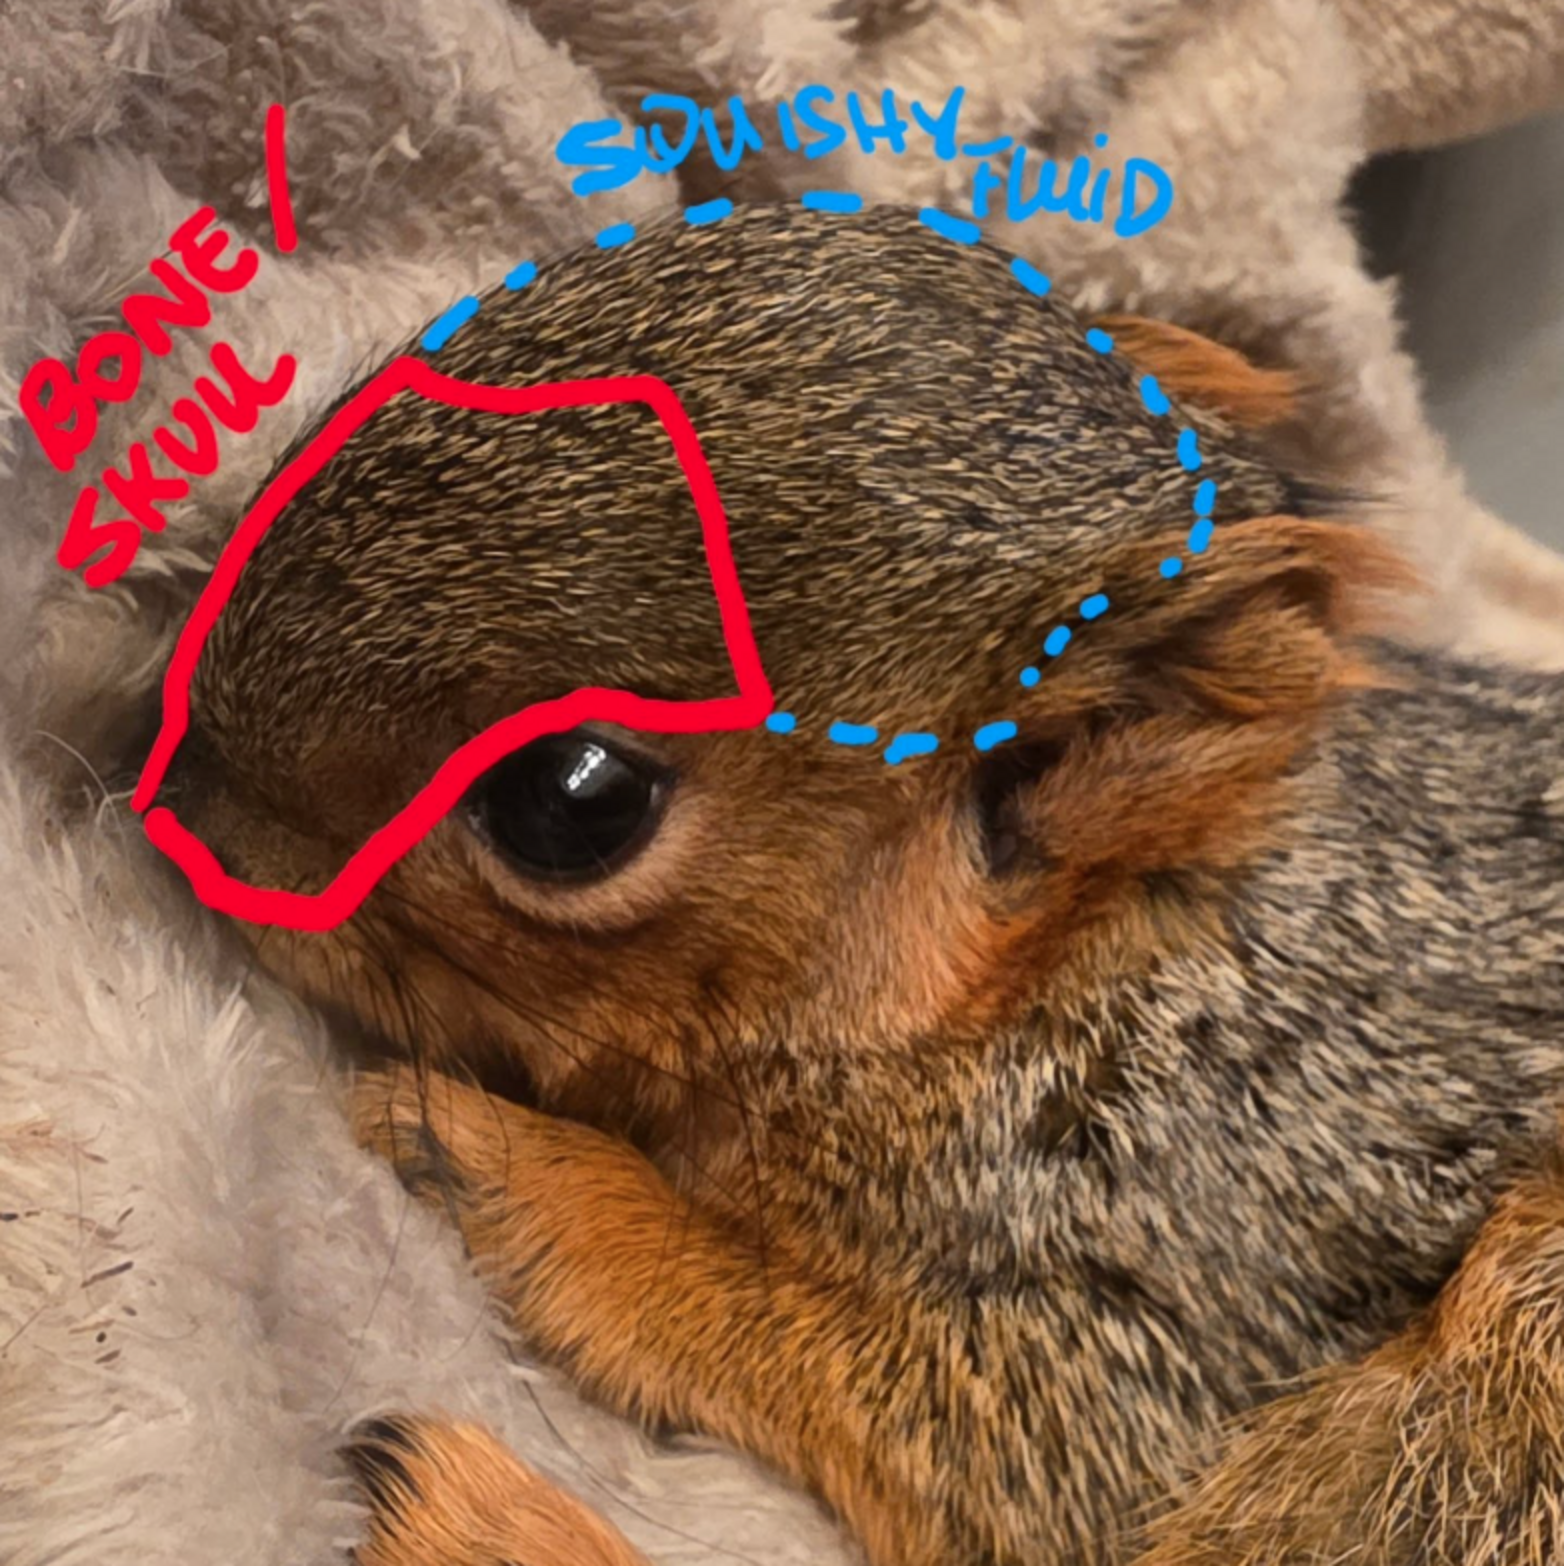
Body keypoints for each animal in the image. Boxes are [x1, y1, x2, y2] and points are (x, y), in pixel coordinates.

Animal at [157, 203, 1564, 1565]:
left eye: (569, 803)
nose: (188, 800)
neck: (1084, 957)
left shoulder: (1217, 1234)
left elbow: (955, 1423)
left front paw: (539, 1180)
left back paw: (487, 1523)